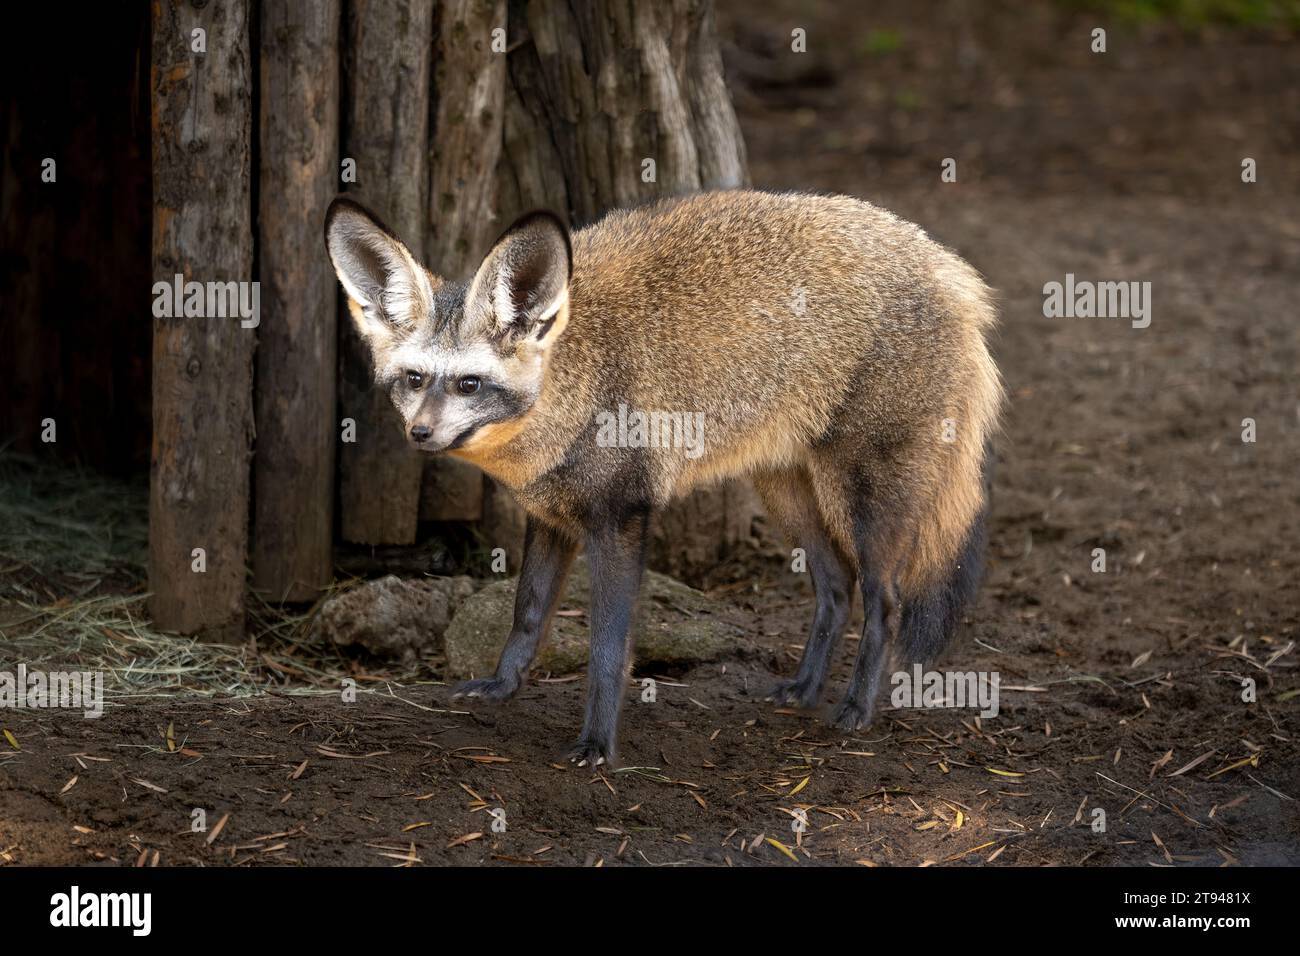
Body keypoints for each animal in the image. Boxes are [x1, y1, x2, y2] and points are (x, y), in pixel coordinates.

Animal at [324, 189, 1001, 767]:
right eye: (414, 380)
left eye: (469, 384)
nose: (421, 434)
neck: (580, 378)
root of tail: (950, 269)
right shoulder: (550, 515)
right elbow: (528, 613)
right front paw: (501, 684)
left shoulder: (622, 518)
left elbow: (607, 647)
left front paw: (598, 742)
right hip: (786, 492)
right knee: (837, 586)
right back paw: (806, 689)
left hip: (863, 494)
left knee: (885, 599)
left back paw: (857, 707)